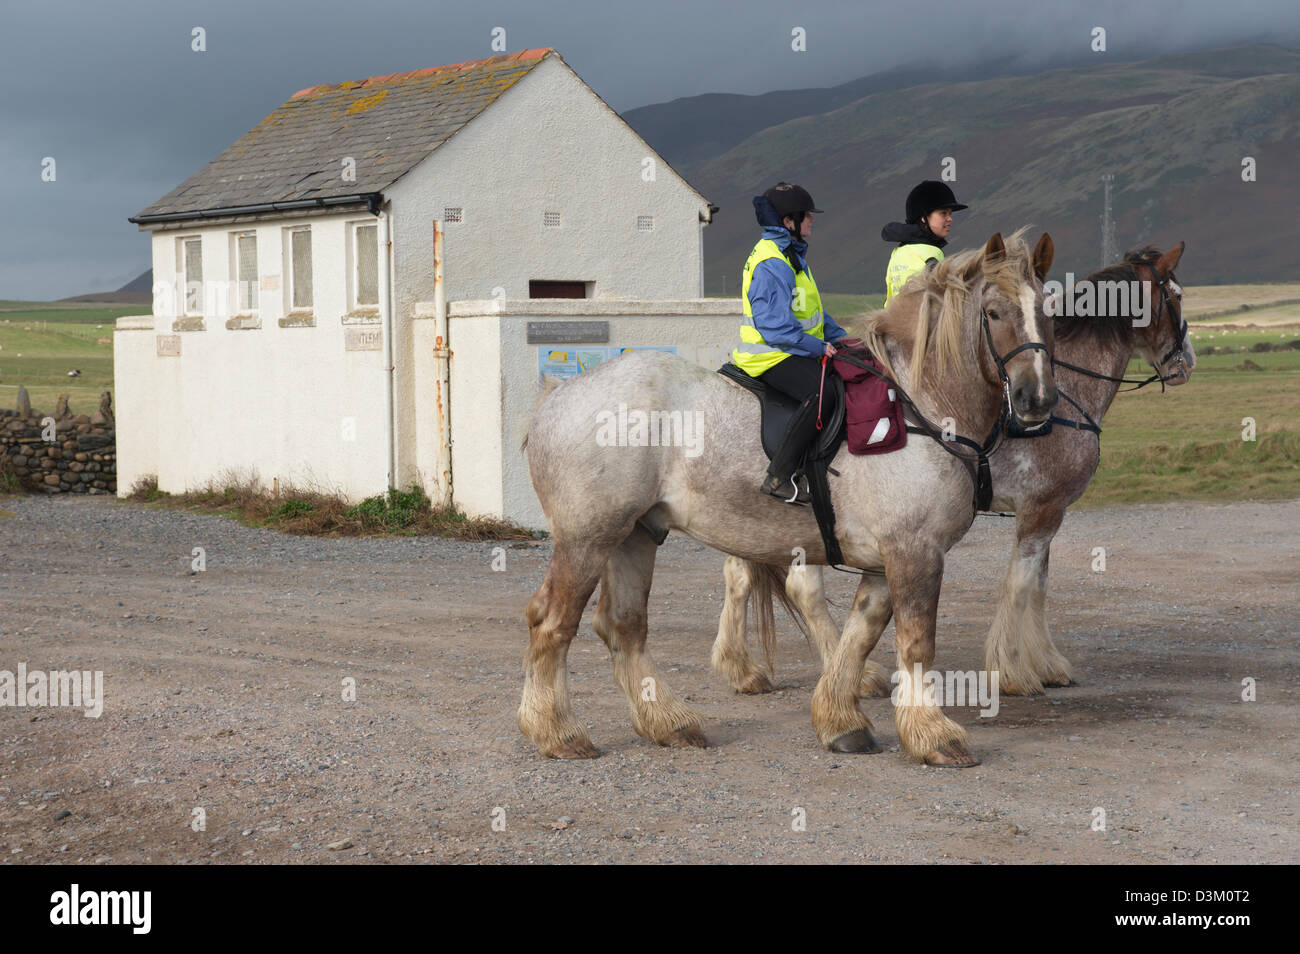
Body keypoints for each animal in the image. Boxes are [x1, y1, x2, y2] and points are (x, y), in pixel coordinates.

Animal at [520, 230, 1056, 767]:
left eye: (1046, 309)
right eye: (993, 312)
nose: (1037, 400)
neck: (919, 407)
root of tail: (557, 396)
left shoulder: (887, 559)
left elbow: (862, 633)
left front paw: (840, 721)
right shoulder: (915, 551)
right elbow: (917, 641)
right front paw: (932, 734)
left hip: (635, 535)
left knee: (623, 626)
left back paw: (667, 722)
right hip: (588, 540)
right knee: (553, 622)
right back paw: (556, 729)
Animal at [711, 242, 1193, 704]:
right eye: (1175, 296)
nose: (1185, 361)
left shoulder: (1044, 510)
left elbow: (1038, 582)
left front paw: (1043, 663)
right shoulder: (1043, 509)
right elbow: (1023, 585)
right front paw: (1015, 670)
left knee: (740, 572)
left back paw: (743, 668)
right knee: (799, 586)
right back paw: (850, 675)